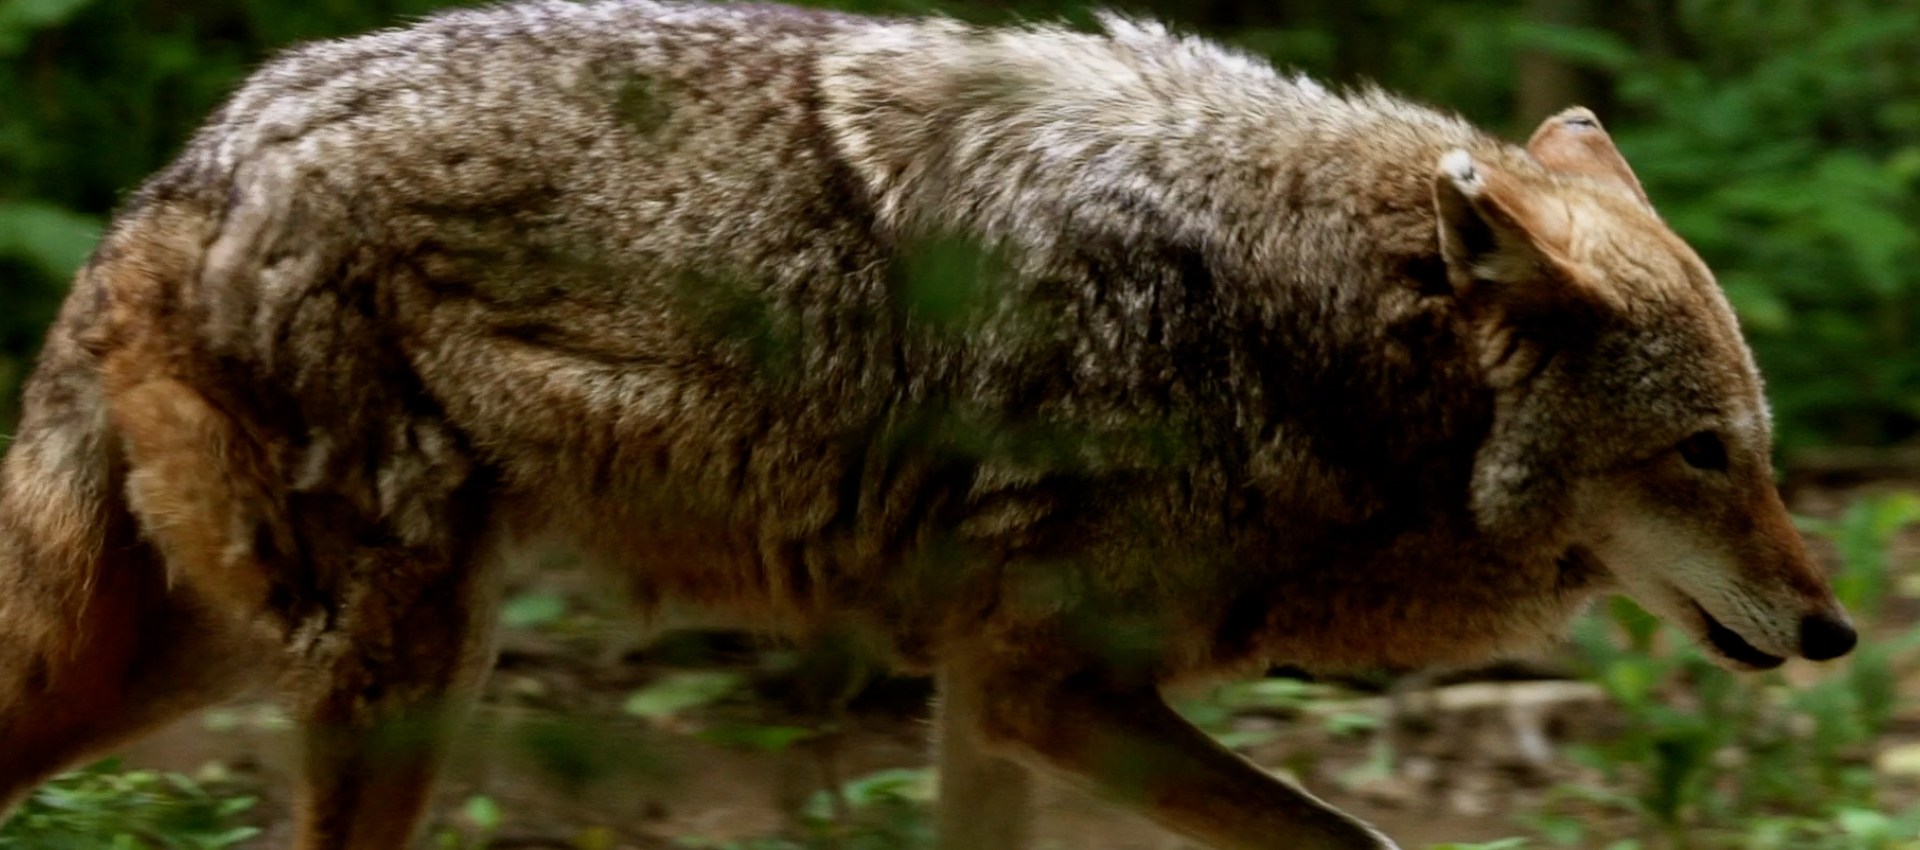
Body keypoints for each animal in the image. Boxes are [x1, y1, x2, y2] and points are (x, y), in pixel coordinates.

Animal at [0, 2, 1855, 848]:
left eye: (1757, 447)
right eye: (1704, 453)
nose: (1838, 631)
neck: (1304, 320)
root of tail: (185, 169)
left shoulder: (991, 694)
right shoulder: (1049, 687)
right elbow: (1357, 829)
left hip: (222, 652)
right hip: (391, 673)